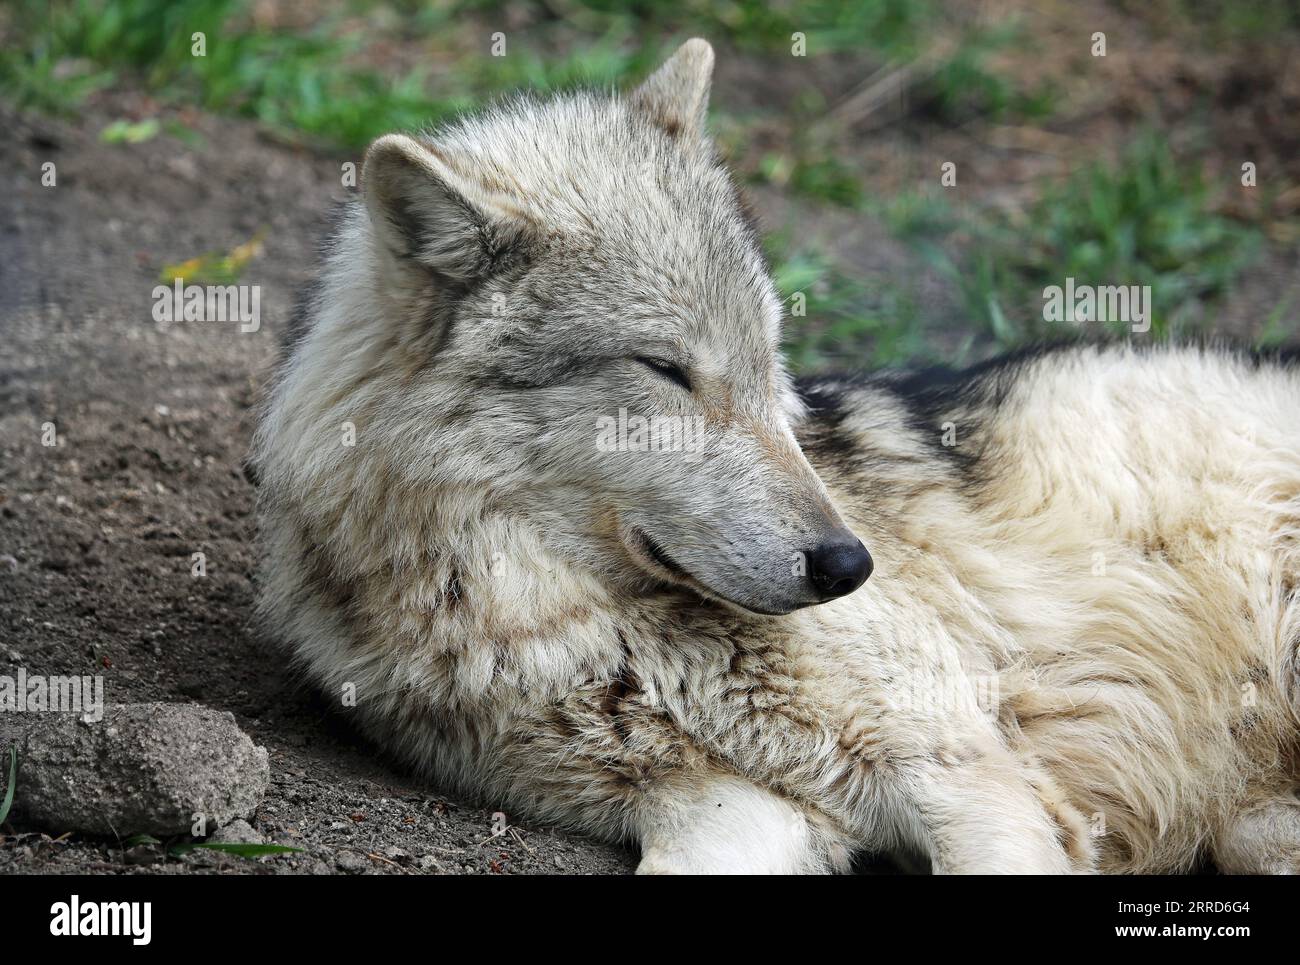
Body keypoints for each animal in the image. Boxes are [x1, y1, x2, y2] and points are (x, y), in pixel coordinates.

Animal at [253, 39, 1300, 873]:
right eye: (667, 370)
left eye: (768, 358)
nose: (848, 564)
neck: (574, 622)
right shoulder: (725, 805)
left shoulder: (964, 775)